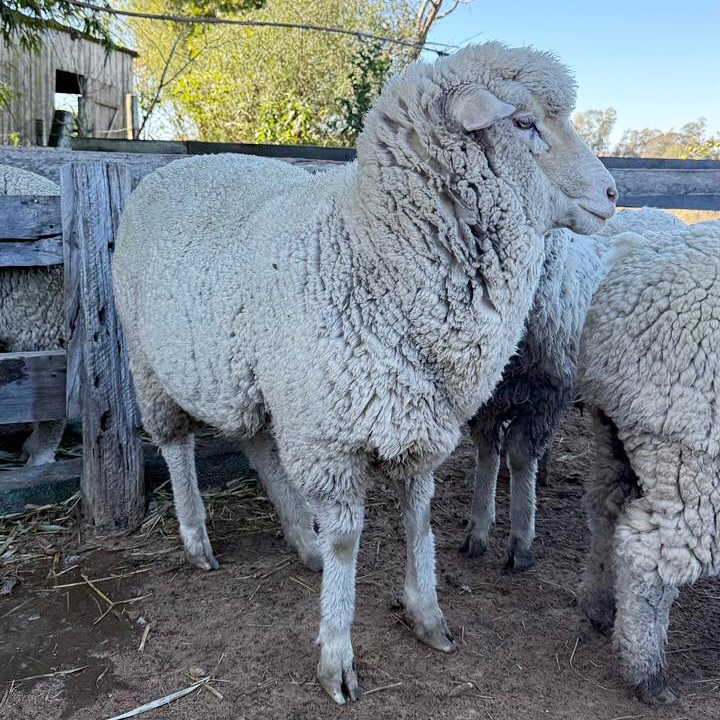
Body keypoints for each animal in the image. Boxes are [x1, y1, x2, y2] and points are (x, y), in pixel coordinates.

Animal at [112, 41, 617, 703]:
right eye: (525, 122)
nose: (612, 193)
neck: (373, 248)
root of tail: (167, 170)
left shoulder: (420, 419)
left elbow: (419, 517)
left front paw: (427, 615)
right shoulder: (328, 435)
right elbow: (348, 540)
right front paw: (336, 655)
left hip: (266, 383)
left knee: (257, 443)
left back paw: (302, 540)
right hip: (149, 363)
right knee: (176, 445)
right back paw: (198, 540)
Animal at [576, 215, 720, 704]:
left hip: (614, 426)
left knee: (606, 510)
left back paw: (601, 606)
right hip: (690, 454)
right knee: (649, 553)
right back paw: (646, 673)